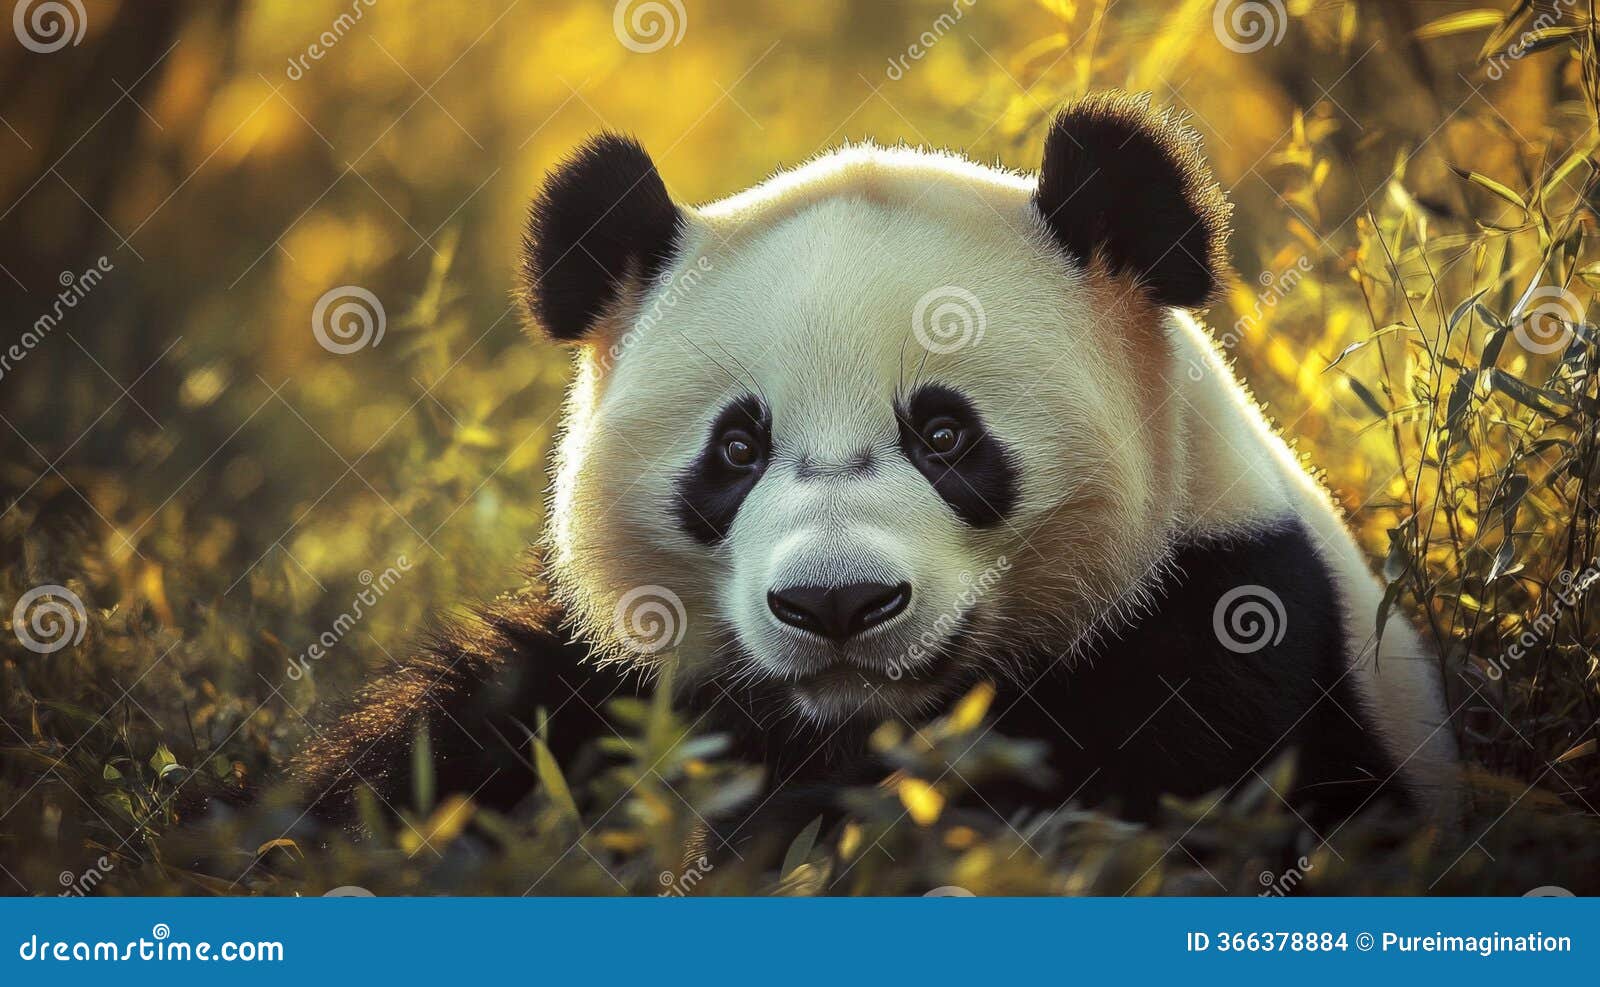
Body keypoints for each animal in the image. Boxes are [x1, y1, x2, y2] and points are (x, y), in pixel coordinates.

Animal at [289, 92, 1459, 854]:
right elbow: (446, 762)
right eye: (737, 448)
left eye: (944, 437)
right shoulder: (618, 682)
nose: (835, 604)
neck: (862, 719)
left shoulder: (1218, 627)